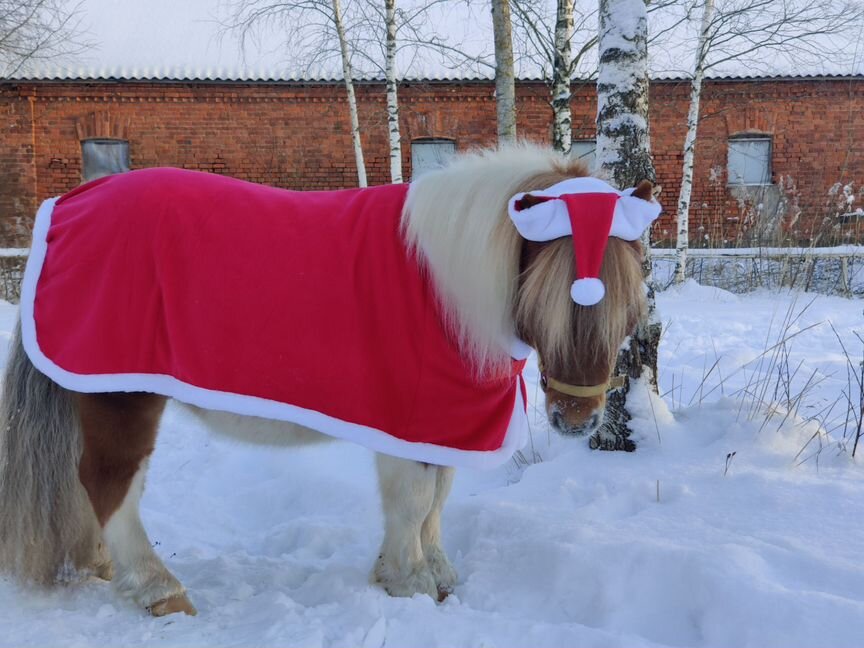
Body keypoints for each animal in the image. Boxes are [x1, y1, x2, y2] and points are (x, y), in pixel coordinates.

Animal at [0, 144, 651, 617]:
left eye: (627, 307)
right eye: (552, 300)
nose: (579, 420)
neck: (446, 285)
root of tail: (75, 200)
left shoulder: (437, 425)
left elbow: (435, 497)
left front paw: (427, 574)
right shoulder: (410, 417)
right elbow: (415, 500)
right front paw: (412, 581)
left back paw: (107, 567)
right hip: (121, 395)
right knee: (111, 482)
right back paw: (159, 589)